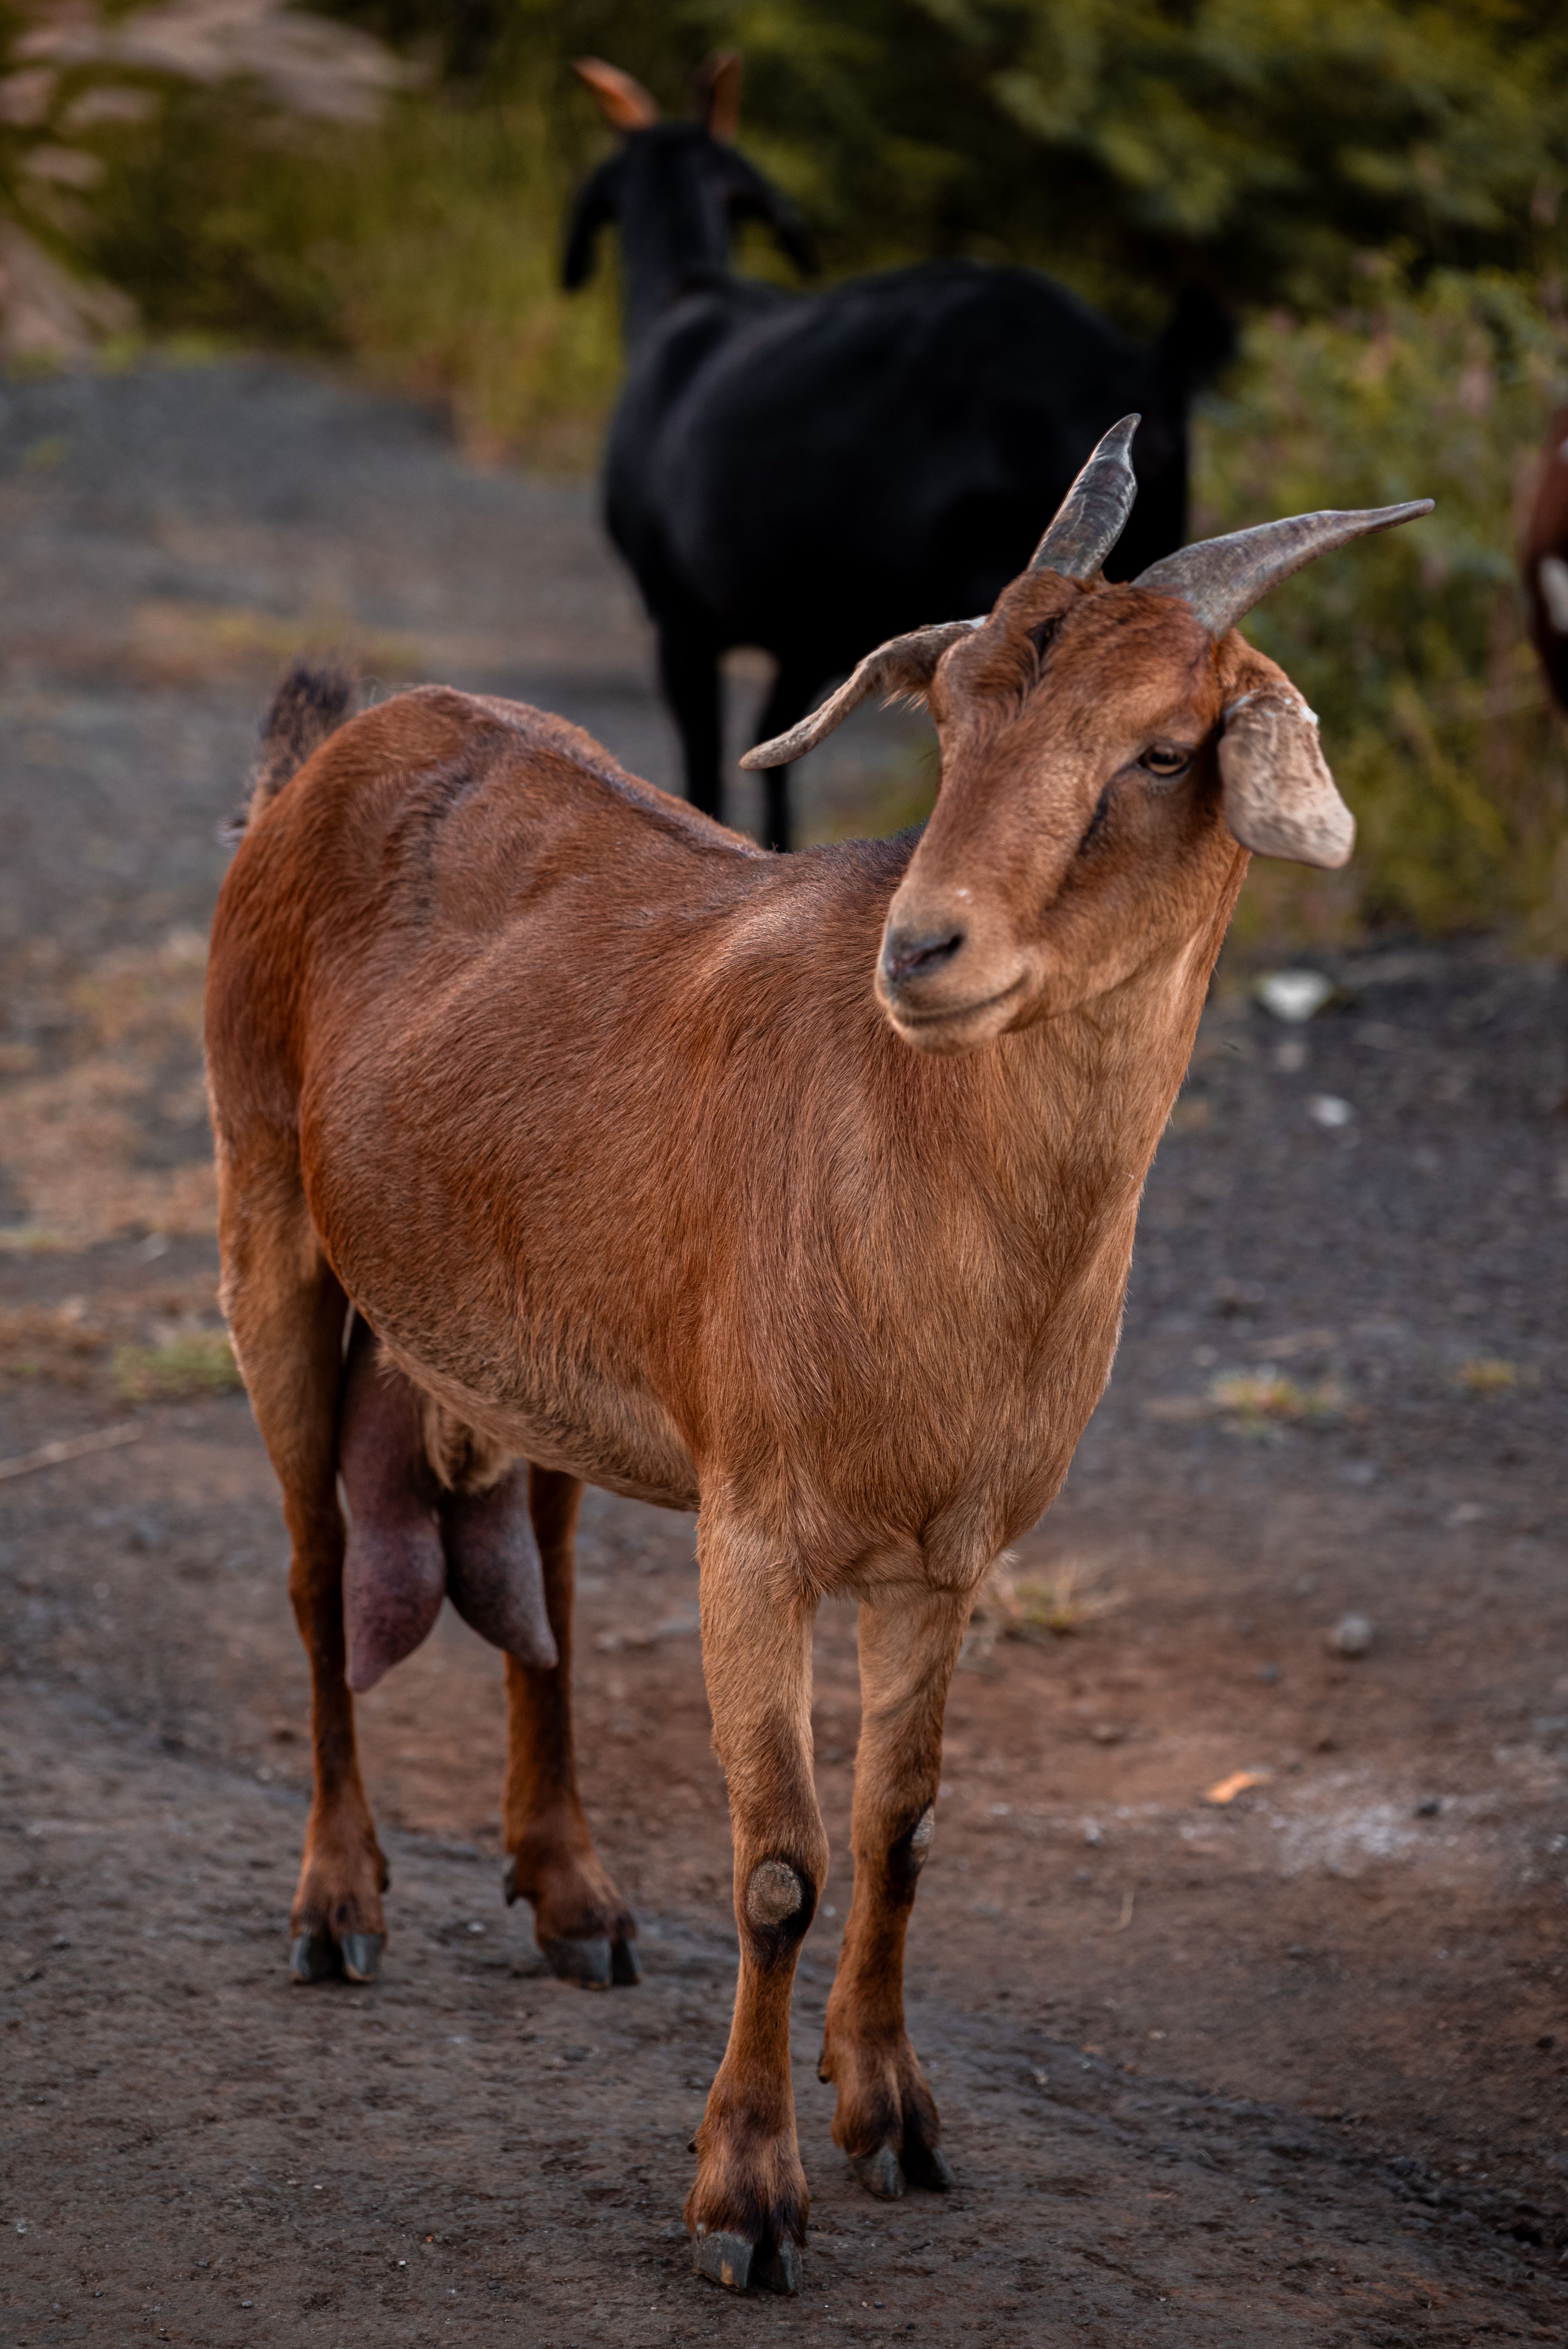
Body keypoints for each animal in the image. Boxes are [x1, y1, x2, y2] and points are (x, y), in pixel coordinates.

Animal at [205, 418, 1429, 2296]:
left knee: (541, 1575)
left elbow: (895, 1824)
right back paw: (338, 1903)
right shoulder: (759, 1528)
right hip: (266, 1218)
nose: (923, 948)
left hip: (531, 1337)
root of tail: (329, 752)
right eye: (951, 722)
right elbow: (778, 1861)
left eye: (1160, 750)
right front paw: (746, 2195)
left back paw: (574, 1896)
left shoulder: (945, 1551)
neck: (927, 1187)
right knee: (314, 1560)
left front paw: (898, 2120)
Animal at [564, 52, 1234, 851]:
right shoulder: (809, 633)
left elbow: (704, 773)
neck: (681, 297)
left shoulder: (681, 618)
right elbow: (776, 751)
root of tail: (1146, 372)